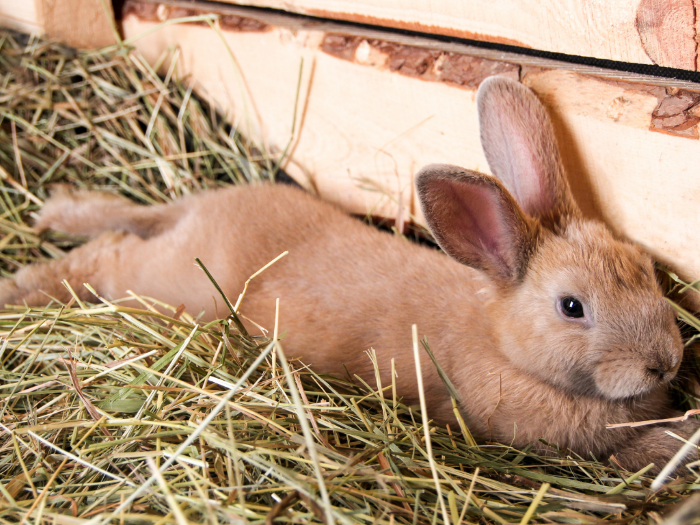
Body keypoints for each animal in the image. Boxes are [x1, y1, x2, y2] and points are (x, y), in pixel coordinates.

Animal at [1, 76, 698, 474]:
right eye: (572, 307)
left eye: (643, 270)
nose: (662, 363)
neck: (506, 345)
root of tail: (195, 214)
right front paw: (681, 439)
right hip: (159, 285)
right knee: (105, 255)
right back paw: (21, 285)